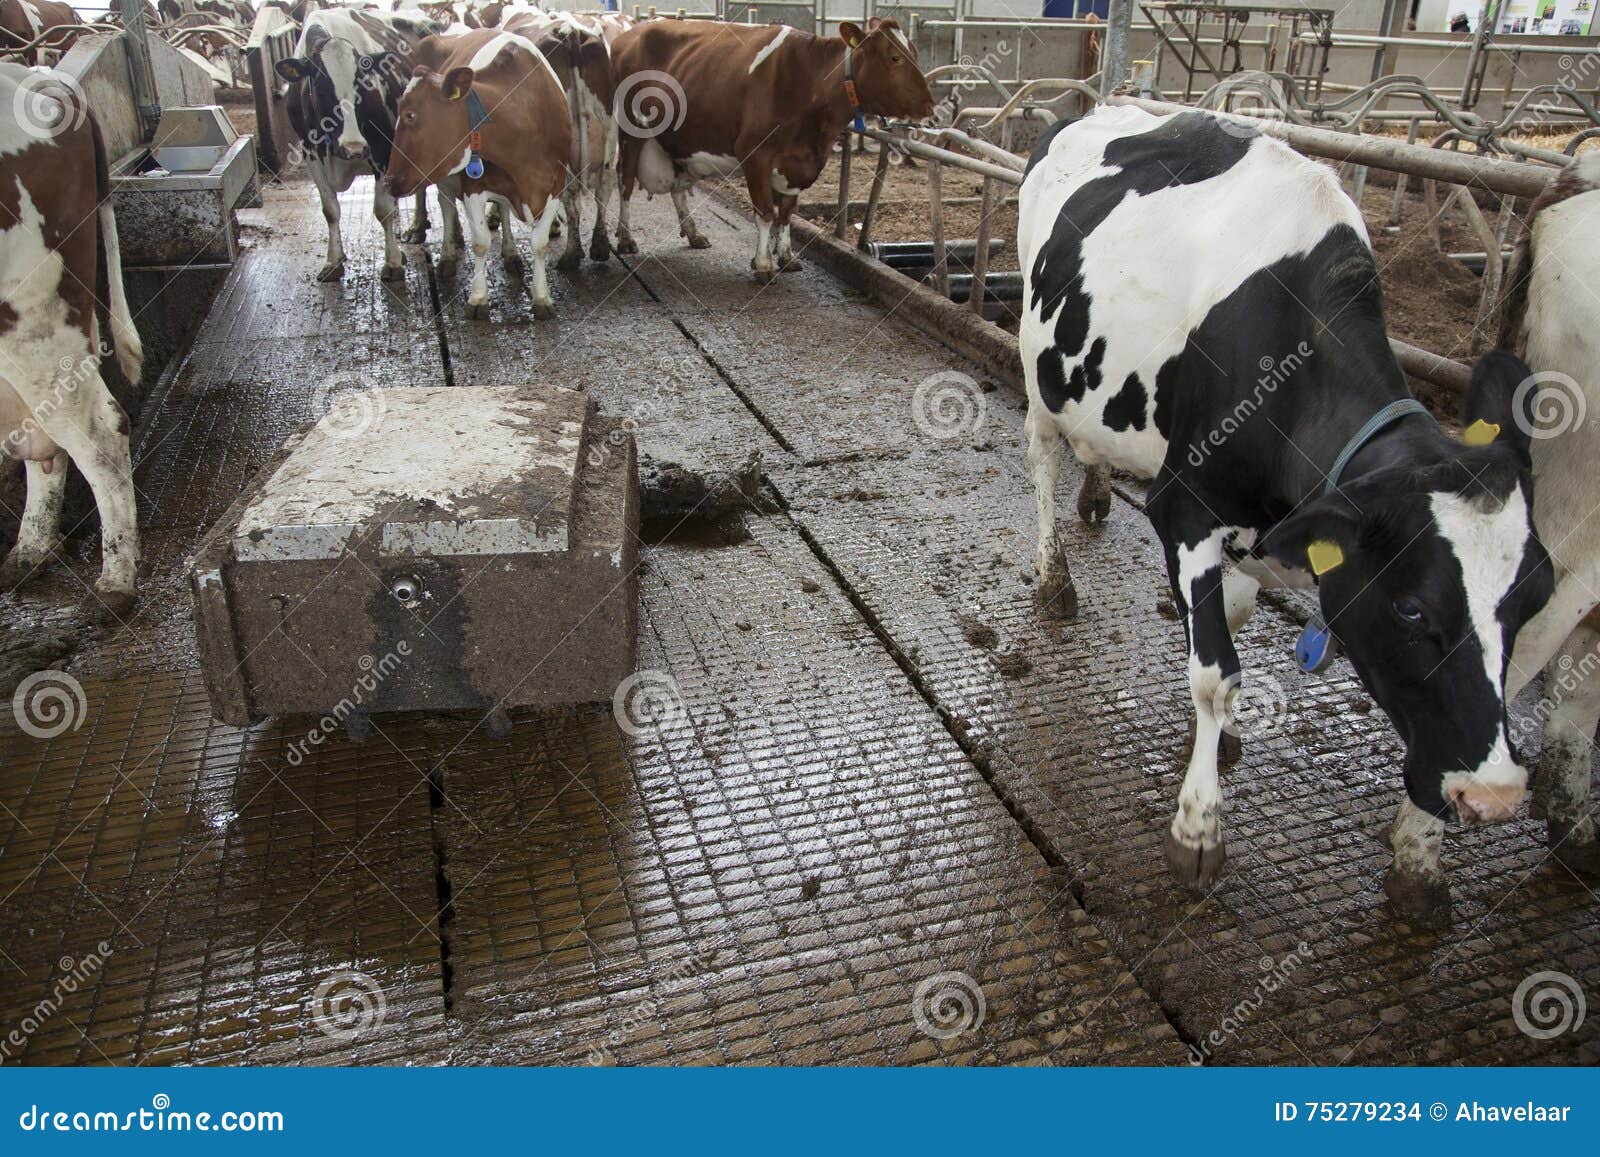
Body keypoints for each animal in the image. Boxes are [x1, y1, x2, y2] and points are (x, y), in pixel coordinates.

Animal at [274, 8, 440, 282]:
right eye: (321, 86)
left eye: (363, 83)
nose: (353, 147)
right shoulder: (310, 151)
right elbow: (330, 209)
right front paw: (333, 261)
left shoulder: (382, 146)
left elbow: (383, 209)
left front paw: (393, 263)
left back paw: (415, 228)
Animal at [384, 27, 571, 319]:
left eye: (410, 115)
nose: (389, 181)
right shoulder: (473, 185)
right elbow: (481, 242)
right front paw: (478, 299)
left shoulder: (556, 183)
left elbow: (540, 242)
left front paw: (542, 298)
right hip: (446, 178)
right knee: (446, 205)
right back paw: (447, 257)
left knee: (502, 210)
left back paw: (511, 254)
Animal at [504, 8, 630, 269]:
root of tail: (569, 32)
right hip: (609, 130)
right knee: (604, 186)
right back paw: (600, 246)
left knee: (571, 196)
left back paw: (572, 254)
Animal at [609, 17, 933, 282]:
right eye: (895, 57)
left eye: (915, 54)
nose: (929, 105)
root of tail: (631, 32)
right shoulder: (755, 154)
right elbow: (765, 212)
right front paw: (763, 264)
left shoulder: (800, 161)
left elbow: (787, 212)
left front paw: (787, 257)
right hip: (631, 131)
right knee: (625, 181)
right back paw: (624, 238)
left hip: (679, 139)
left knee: (677, 185)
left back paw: (693, 233)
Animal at [1018, 106, 1554, 924]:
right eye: (1409, 608)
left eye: (1537, 595)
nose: (1491, 795)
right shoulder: (1185, 508)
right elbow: (1215, 670)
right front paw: (1198, 830)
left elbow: (1232, 621)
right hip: (1036, 367)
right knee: (1044, 456)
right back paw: (1055, 579)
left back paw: (1099, 492)